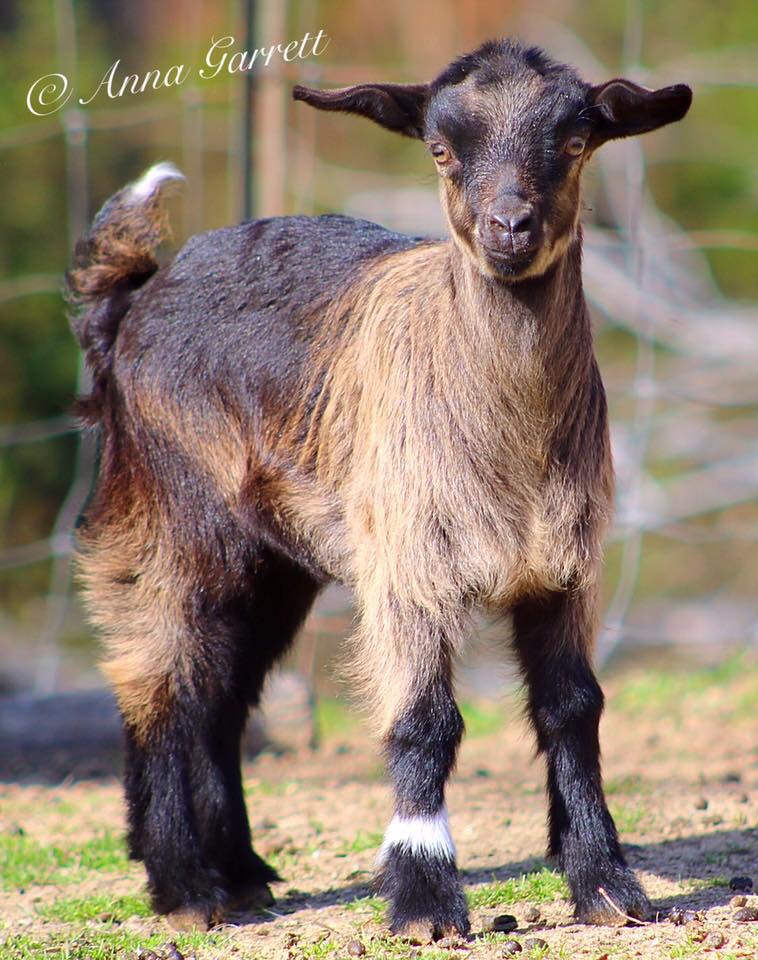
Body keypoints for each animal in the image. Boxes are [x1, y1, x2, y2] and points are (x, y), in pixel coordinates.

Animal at [67, 39, 691, 940]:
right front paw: (426, 896)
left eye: (576, 144)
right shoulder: (408, 562)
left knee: (221, 692)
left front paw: (606, 882)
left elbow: (573, 707)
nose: (510, 227)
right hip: (170, 509)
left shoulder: (566, 563)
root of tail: (132, 298)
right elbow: (425, 724)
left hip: (275, 560)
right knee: (161, 678)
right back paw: (186, 886)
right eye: (440, 151)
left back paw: (241, 871)